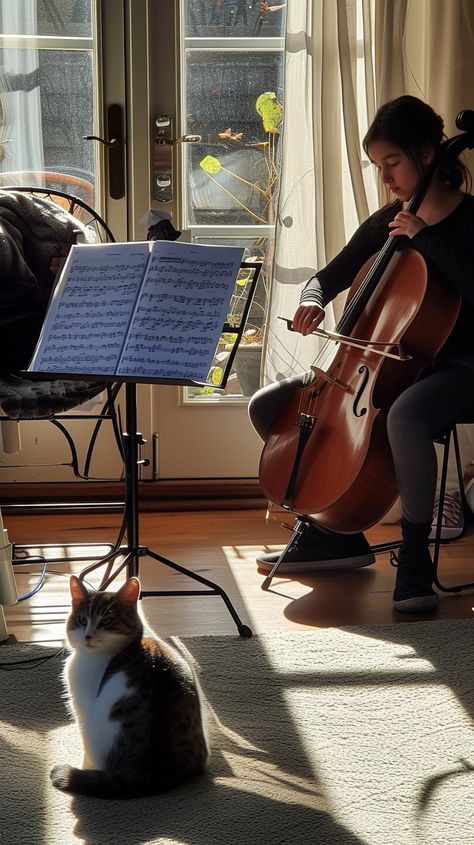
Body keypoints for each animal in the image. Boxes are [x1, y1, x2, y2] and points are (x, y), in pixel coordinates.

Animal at [49, 572, 209, 796]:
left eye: (107, 621)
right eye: (82, 620)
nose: (88, 635)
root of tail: (154, 772)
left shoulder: (82, 709)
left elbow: (85, 755)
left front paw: (83, 769)